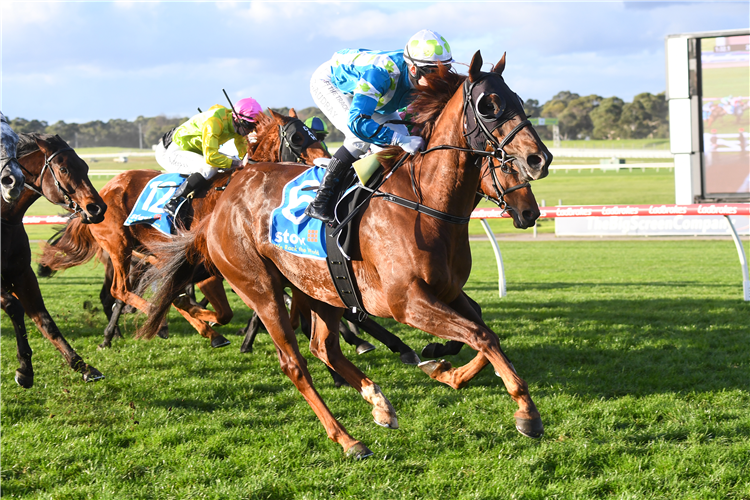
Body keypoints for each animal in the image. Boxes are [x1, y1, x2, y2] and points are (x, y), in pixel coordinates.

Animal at [0, 133, 107, 387]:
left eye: (85, 166)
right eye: (64, 168)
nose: (97, 208)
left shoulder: (22, 274)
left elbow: (44, 320)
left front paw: (82, 366)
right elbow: (14, 306)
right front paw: (24, 368)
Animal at [38, 109, 329, 349]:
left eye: (317, 135)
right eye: (297, 137)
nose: (327, 163)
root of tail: (98, 195)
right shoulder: (209, 267)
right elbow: (221, 311)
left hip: (146, 251)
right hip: (119, 246)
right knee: (119, 291)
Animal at [136, 50, 551, 458]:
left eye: (517, 99)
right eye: (488, 105)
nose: (540, 160)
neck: (424, 203)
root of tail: (220, 207)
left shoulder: (446, 291)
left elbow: (484, 333)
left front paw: (444, 369)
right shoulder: (406, 302)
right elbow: (481, 336)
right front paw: (526, 414)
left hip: (320, 287)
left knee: (325, 348)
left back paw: (378, 403)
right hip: (261, 288)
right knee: (295, 363)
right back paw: (347, 438)